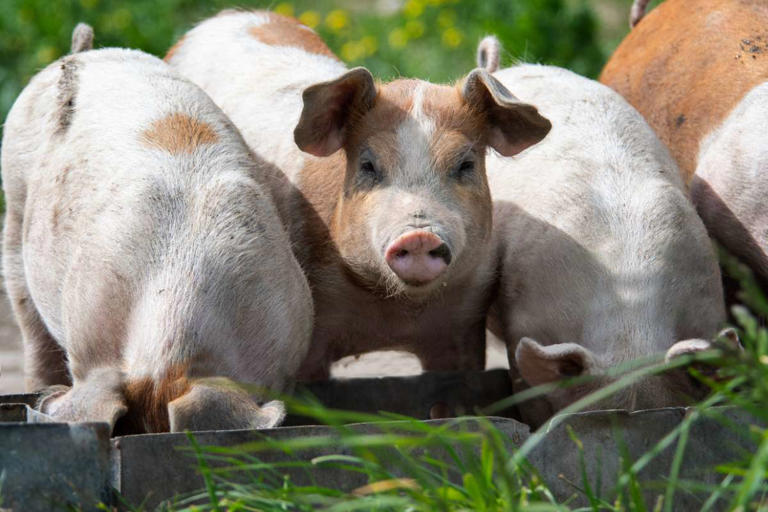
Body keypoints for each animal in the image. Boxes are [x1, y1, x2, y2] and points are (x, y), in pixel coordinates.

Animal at [165, 10, 552, 380]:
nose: (419, 235)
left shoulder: (461, 327)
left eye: (465, 164)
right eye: (368, 165)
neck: (393, 314)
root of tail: (229, 15)